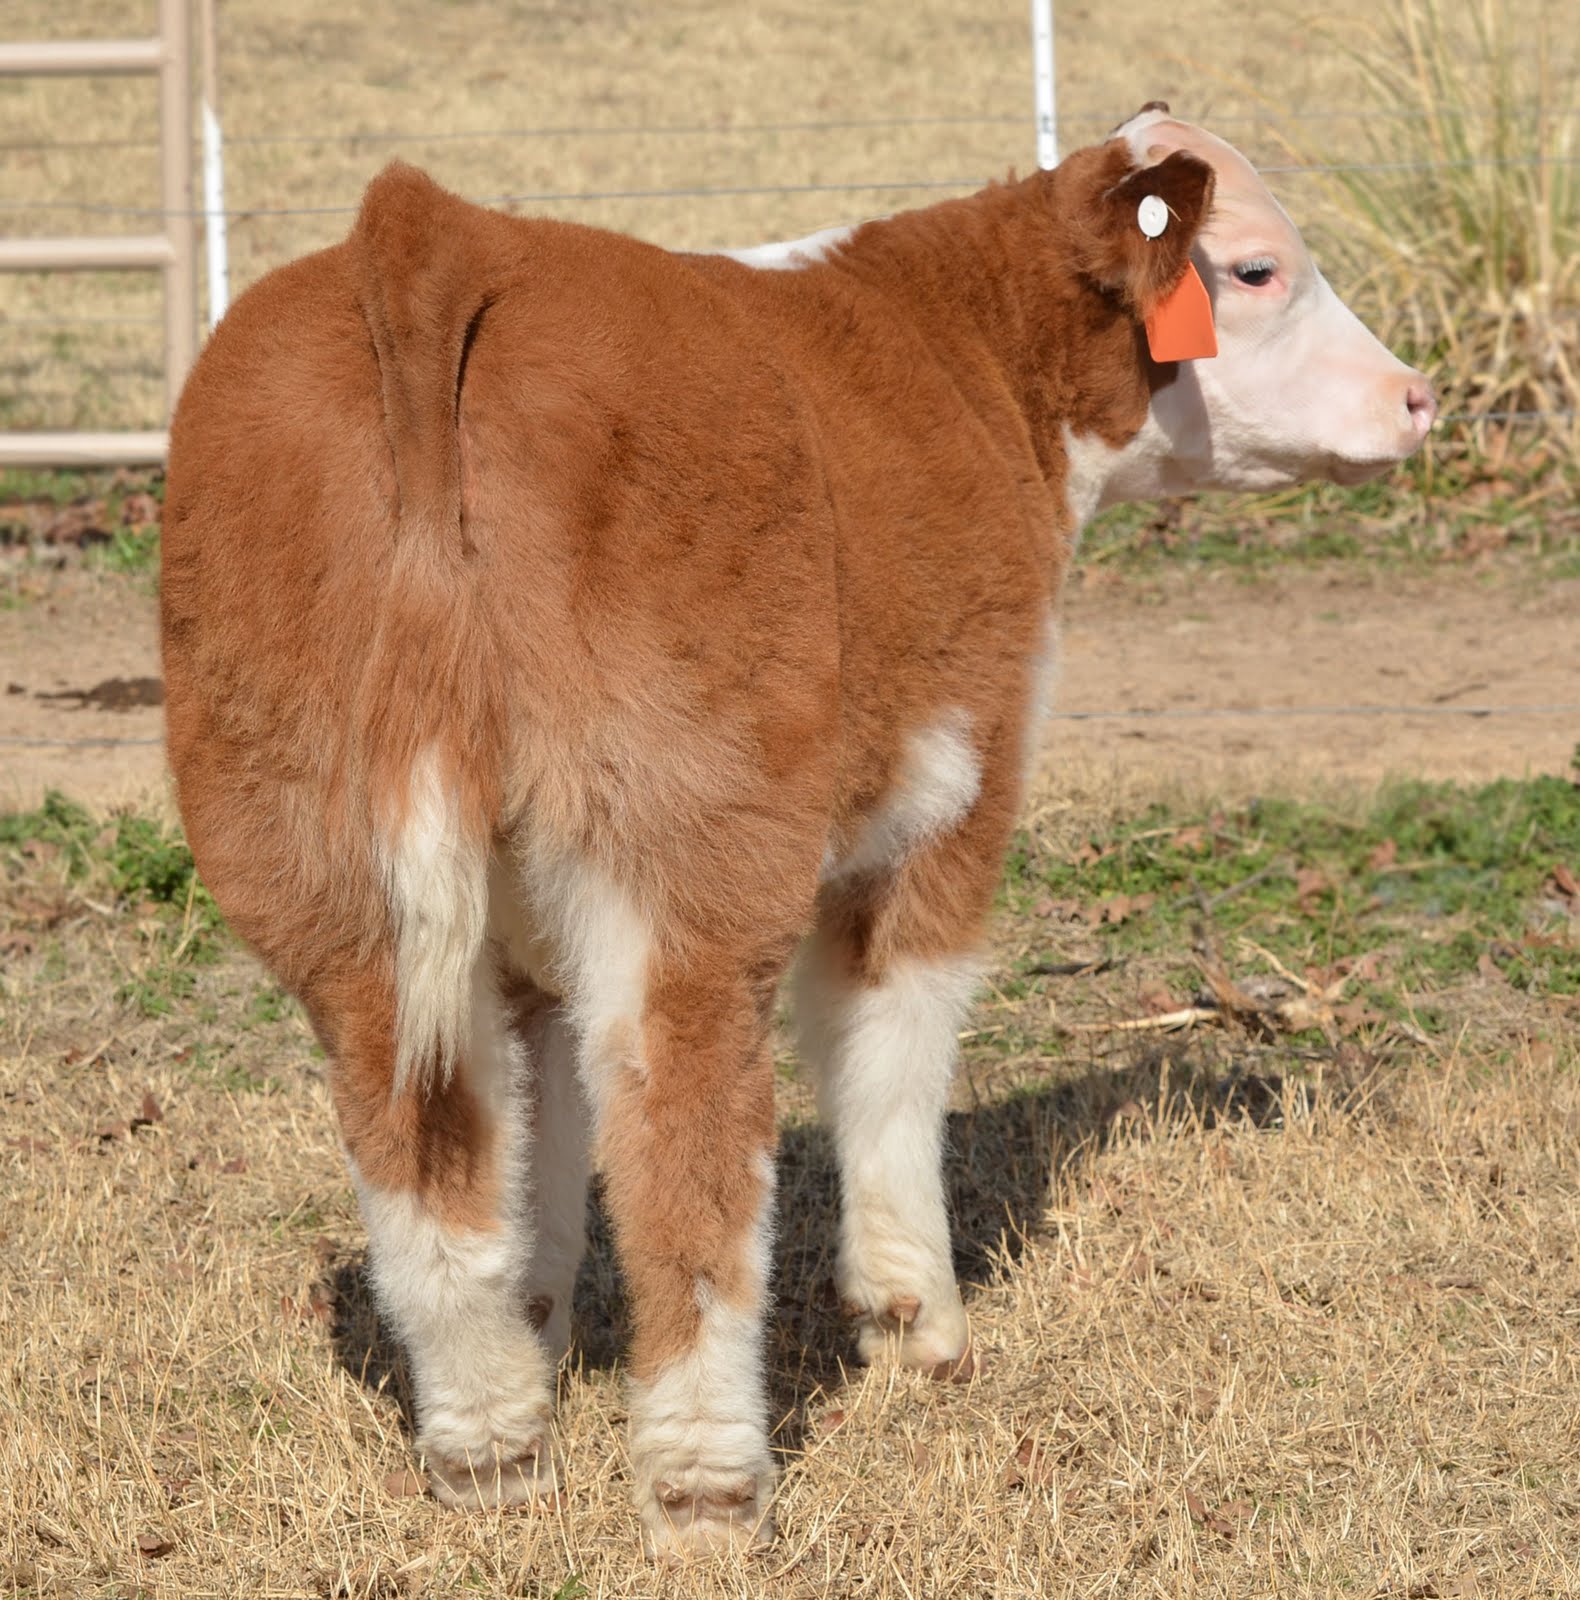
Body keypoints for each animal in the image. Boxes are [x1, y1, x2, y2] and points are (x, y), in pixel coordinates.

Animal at [159, 103, 1435, 1555]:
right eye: (1257, 267)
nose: (1414, 394)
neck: (958, 350)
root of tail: (437, 231)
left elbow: (542, 1132)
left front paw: (546, 1332)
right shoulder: (955, 786)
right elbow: (889, 1046)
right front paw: (914, 1317)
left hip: (324, 865)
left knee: (421, 1139)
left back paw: (490, 1447)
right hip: (690, 846)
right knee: (681, 1132)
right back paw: (706, 1479)